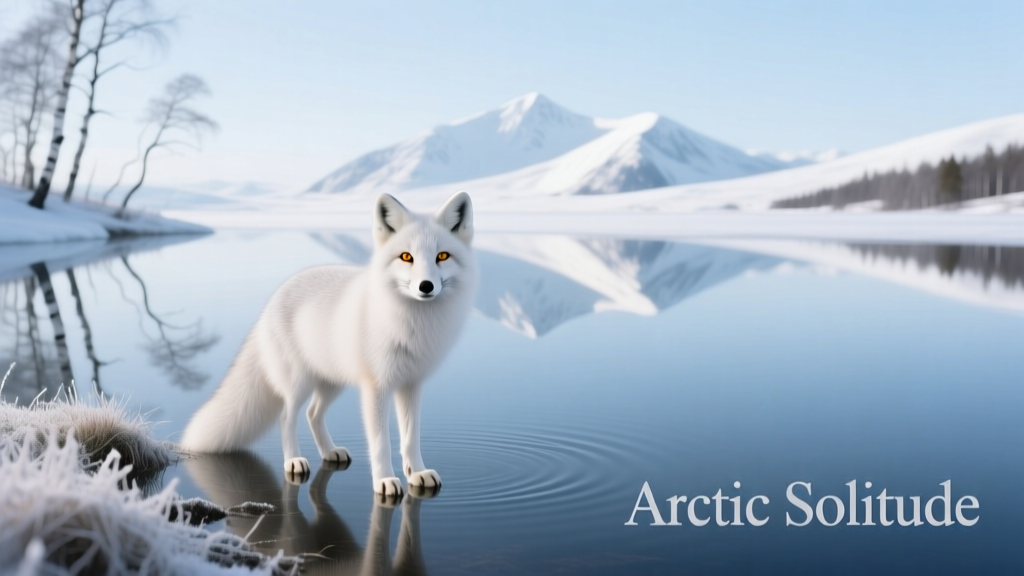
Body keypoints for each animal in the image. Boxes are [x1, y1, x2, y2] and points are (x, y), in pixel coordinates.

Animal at [180, 191, 477, 496]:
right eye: (407, 257)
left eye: (442, 256)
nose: (426, 286)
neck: (412, 322)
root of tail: (272, 301)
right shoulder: (377, 386)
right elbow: (381, 442)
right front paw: (384, 480)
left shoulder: (411, 384)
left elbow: (410, 438)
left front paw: (417, 473)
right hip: (299, 383)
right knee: (286, 417)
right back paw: (294, 461)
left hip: (332, 381)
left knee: (312, 414)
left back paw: (330, 452)